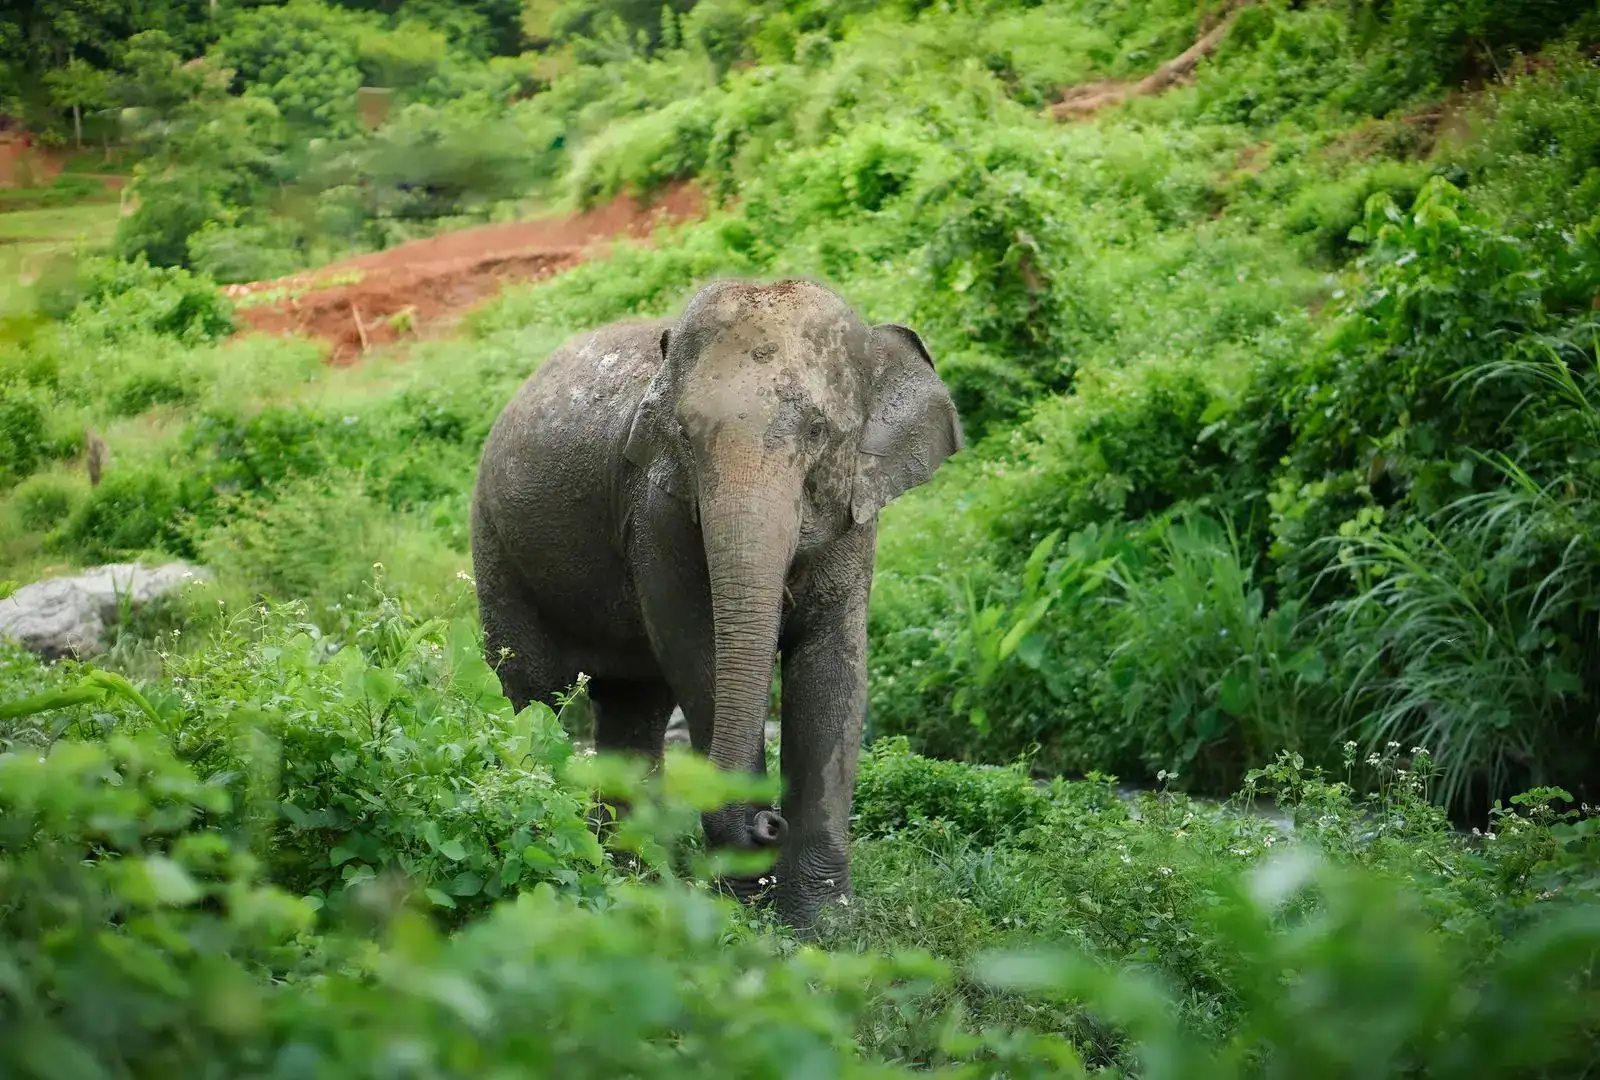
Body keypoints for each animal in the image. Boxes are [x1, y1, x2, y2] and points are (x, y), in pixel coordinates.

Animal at [469, 277, 963, 934]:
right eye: (686, 436)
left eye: (819, 432)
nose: (767, 823)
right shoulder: (656, 510)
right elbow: (699, 655)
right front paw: (746, 907)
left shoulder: (858, 515)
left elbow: (832, 666)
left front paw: (821, 926)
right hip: (495, 542)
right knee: (530, 689)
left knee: (634, 706)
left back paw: (630, 874)